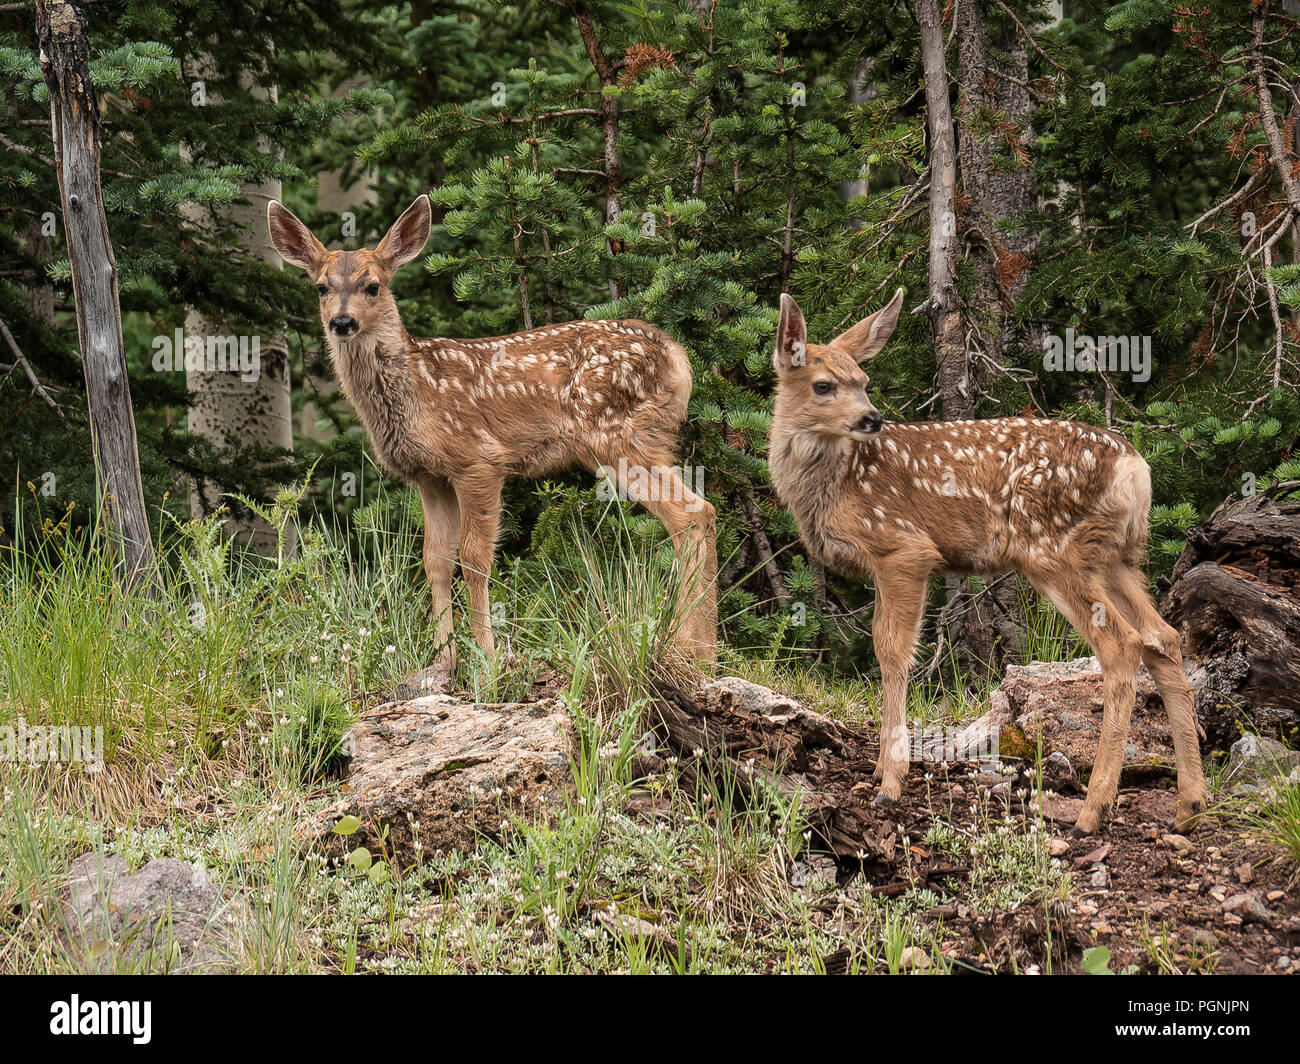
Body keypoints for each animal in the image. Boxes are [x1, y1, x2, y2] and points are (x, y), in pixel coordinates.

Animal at [267, 195, 717, 668]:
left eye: (372, 286)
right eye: (321, 287)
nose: (341, 322)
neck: (417, 391)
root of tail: (678, 356)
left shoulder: (479, 460)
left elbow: (475, 557)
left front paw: (487, 655)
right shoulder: (429, 477)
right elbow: (435, 560)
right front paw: (443, 658)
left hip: (618, 433)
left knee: (691, 515)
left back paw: (687, 647)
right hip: (640, 437)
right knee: (698, 514)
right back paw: (703, 648)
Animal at [767, 290, 1208, 836]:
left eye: (864, 382)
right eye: (824, 385)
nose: (872, 419)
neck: (833, 484)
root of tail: (1136, 470)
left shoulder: (903, 548)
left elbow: (891, 652)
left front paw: (890, 782)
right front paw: (878, 769)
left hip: (1050, 548)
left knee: (1123, 645)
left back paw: (1092, 811)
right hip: (1116, 558)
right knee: (1163, 639)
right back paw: (1190, 805)